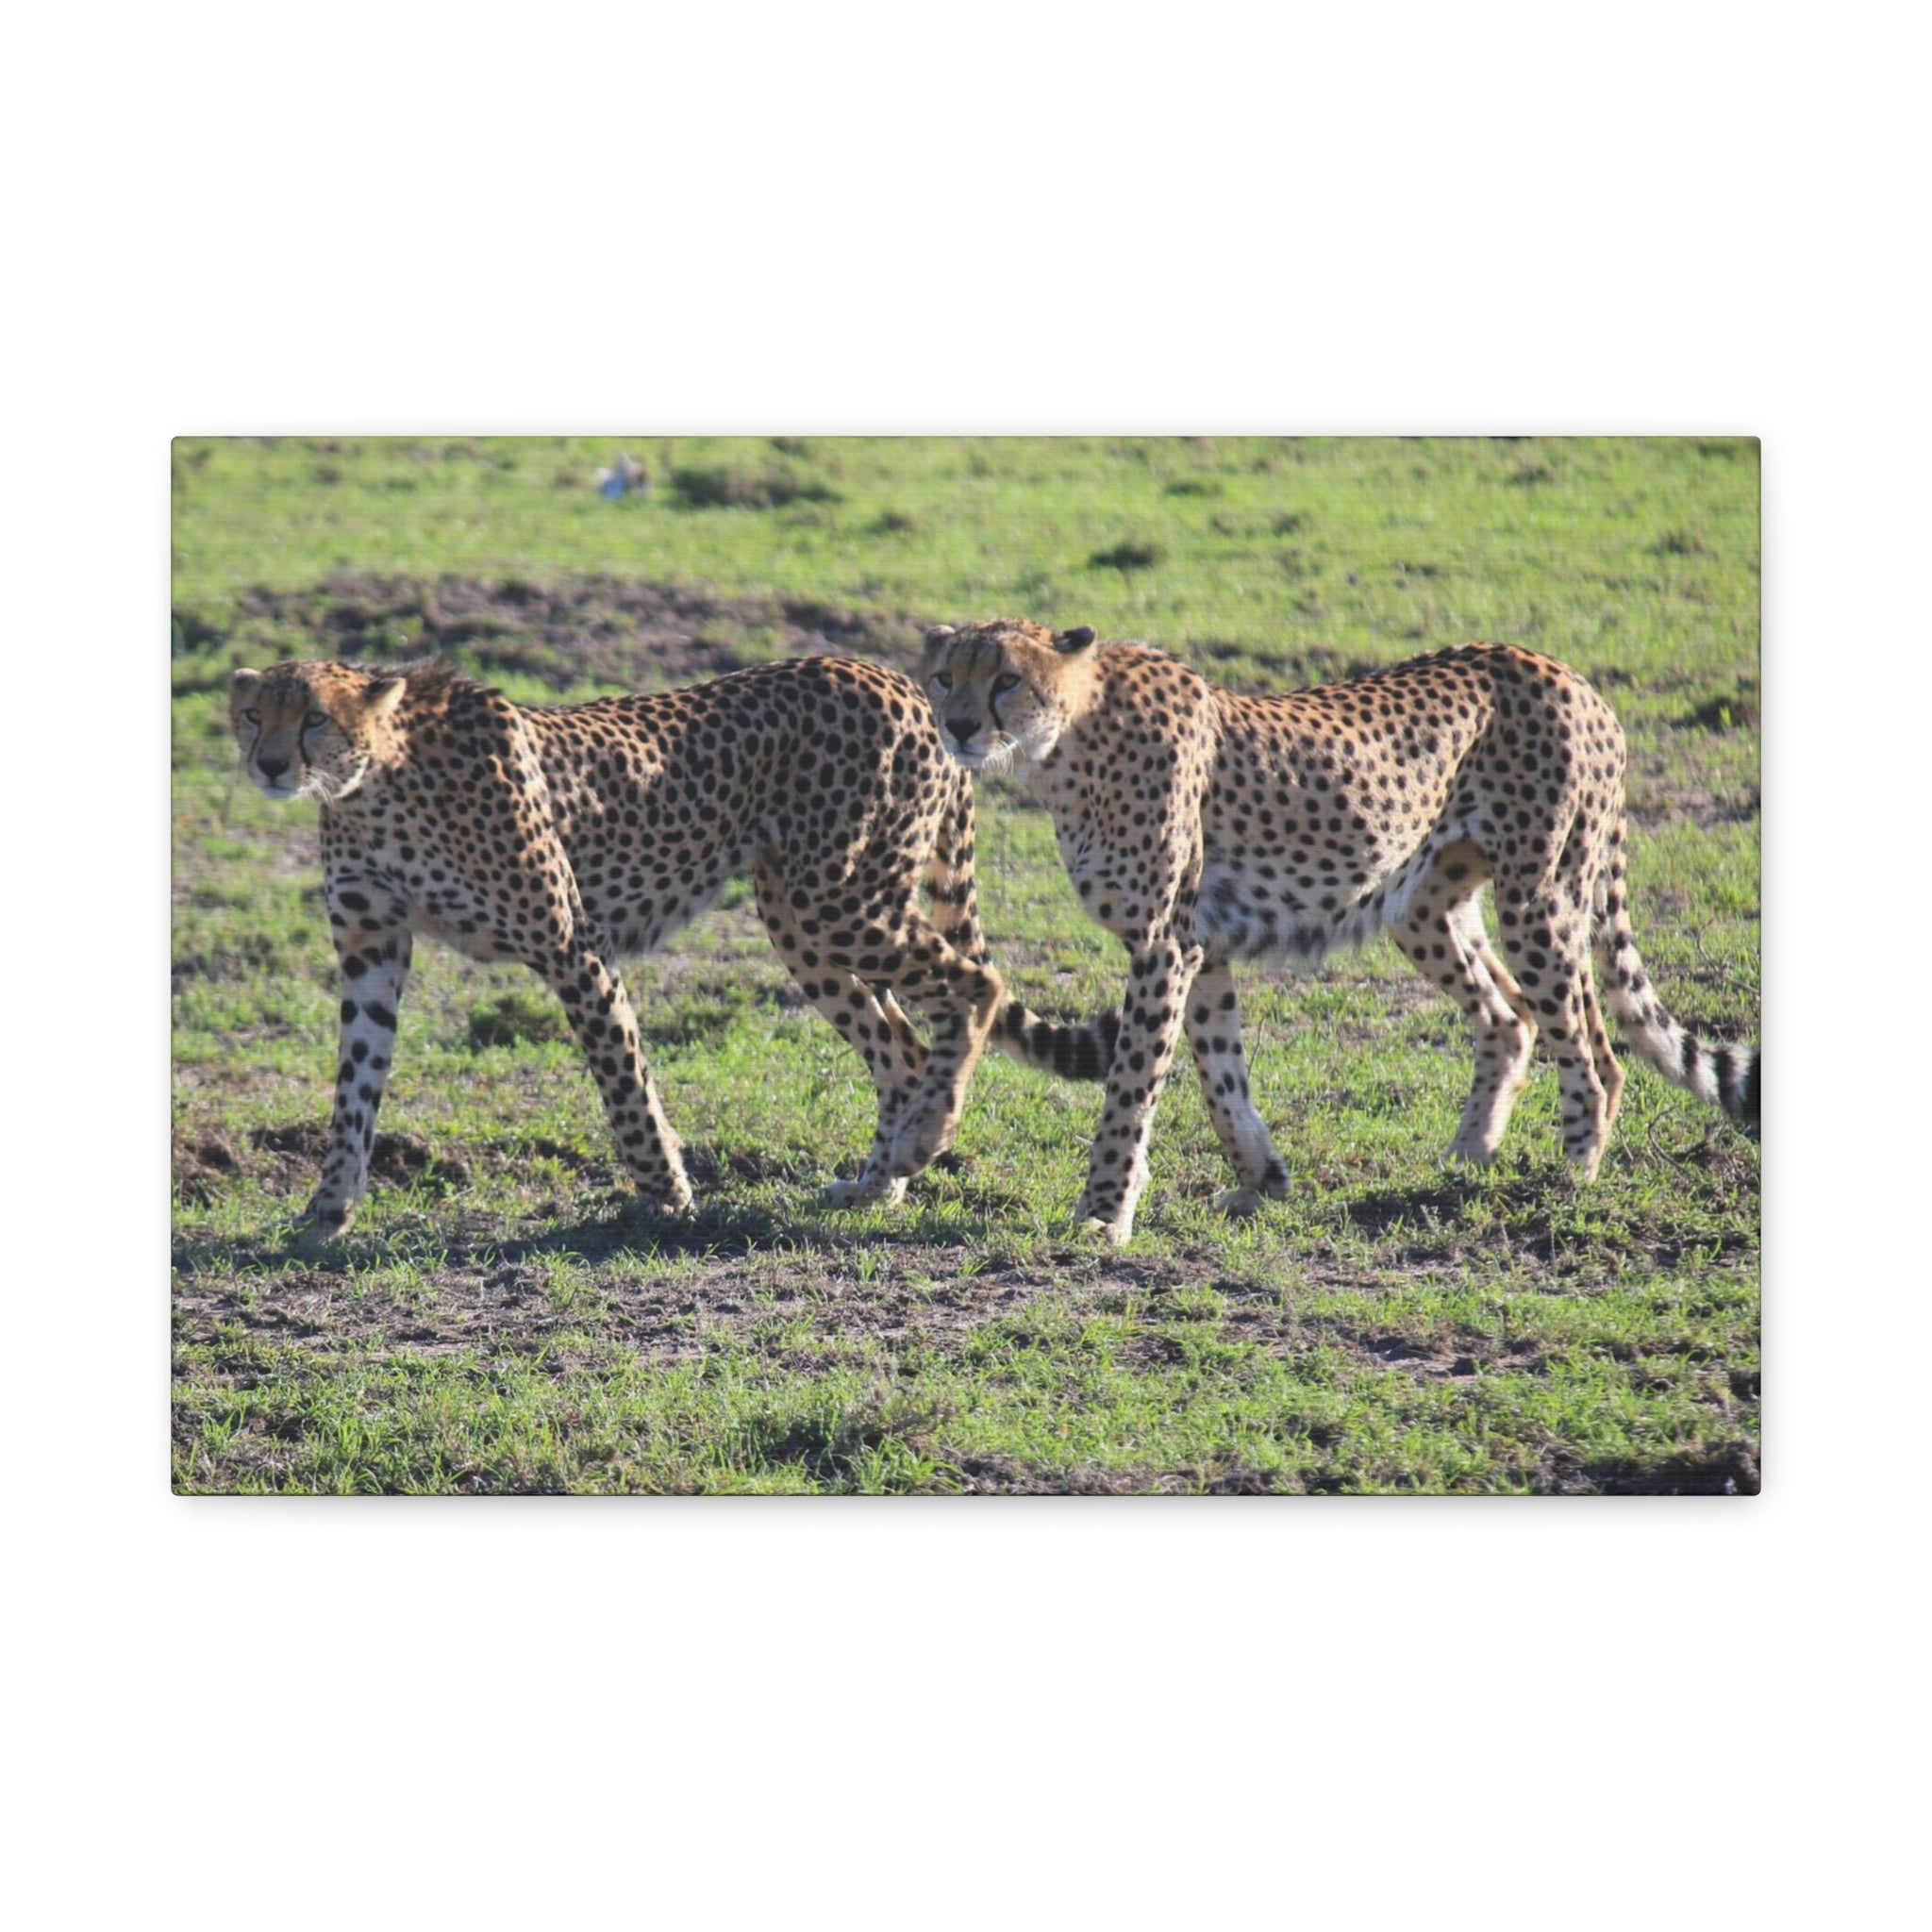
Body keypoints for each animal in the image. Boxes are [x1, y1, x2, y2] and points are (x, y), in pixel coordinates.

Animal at [229, 653, 1116, 1235]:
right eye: (252, 715)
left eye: (314, 718)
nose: (269, 765)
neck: (373, 783)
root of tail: (897, 678)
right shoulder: (371, 951)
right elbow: (355, 1087)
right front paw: (327, 1208)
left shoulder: (571, 944)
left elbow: (622, 1077)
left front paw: (666, 1197)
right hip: (800, 916)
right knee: (899, 1042)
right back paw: (879, 1183)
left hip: (838, 899)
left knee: (973, 986)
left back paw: (925, 1140)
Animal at [921, 618, 1760, 1244]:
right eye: (943, 677)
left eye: (1006, 679)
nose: (957, 727)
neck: (1065, 743)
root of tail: (1566, 672)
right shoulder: (1202, 945)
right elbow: (1220, 1074)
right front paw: (1260, 1182)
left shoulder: (1164, 945)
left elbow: (1133, 1084)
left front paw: (1103, 1212)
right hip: (1420, 904)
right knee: (1509, 1013)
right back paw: (1467, 1156)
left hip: (1542, 894)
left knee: (1592, 1047)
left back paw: (1572, 1174)